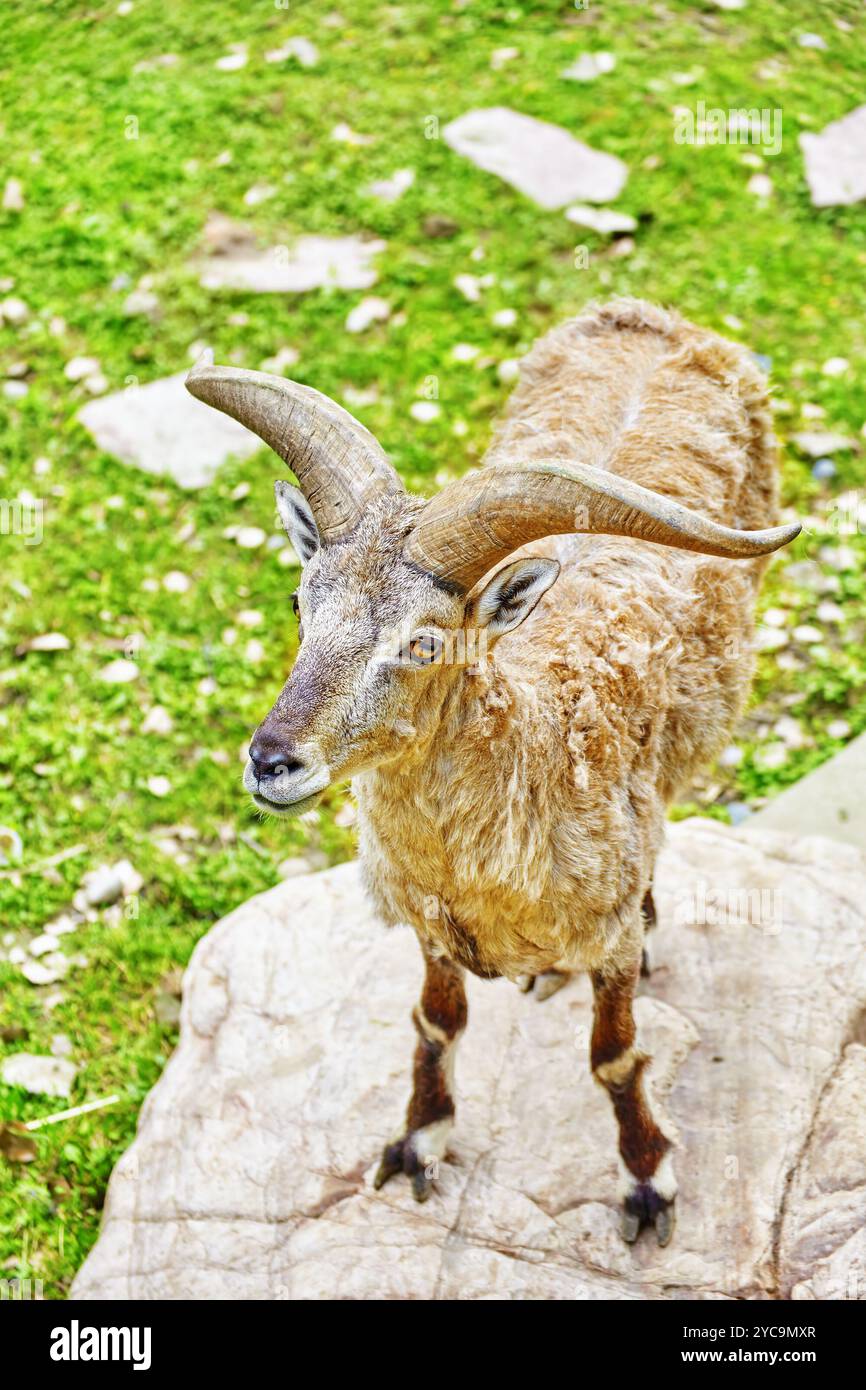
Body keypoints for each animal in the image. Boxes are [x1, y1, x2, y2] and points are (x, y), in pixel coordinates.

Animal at [186, 297, 800, 1245]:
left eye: (423, 642)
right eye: (301, 602)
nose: (271, 760)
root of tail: (646, 315)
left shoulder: (606, 936)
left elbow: (614, 1056)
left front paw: (648, 1182)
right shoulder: (428, 925)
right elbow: (437, 1023)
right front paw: (417, 1143)